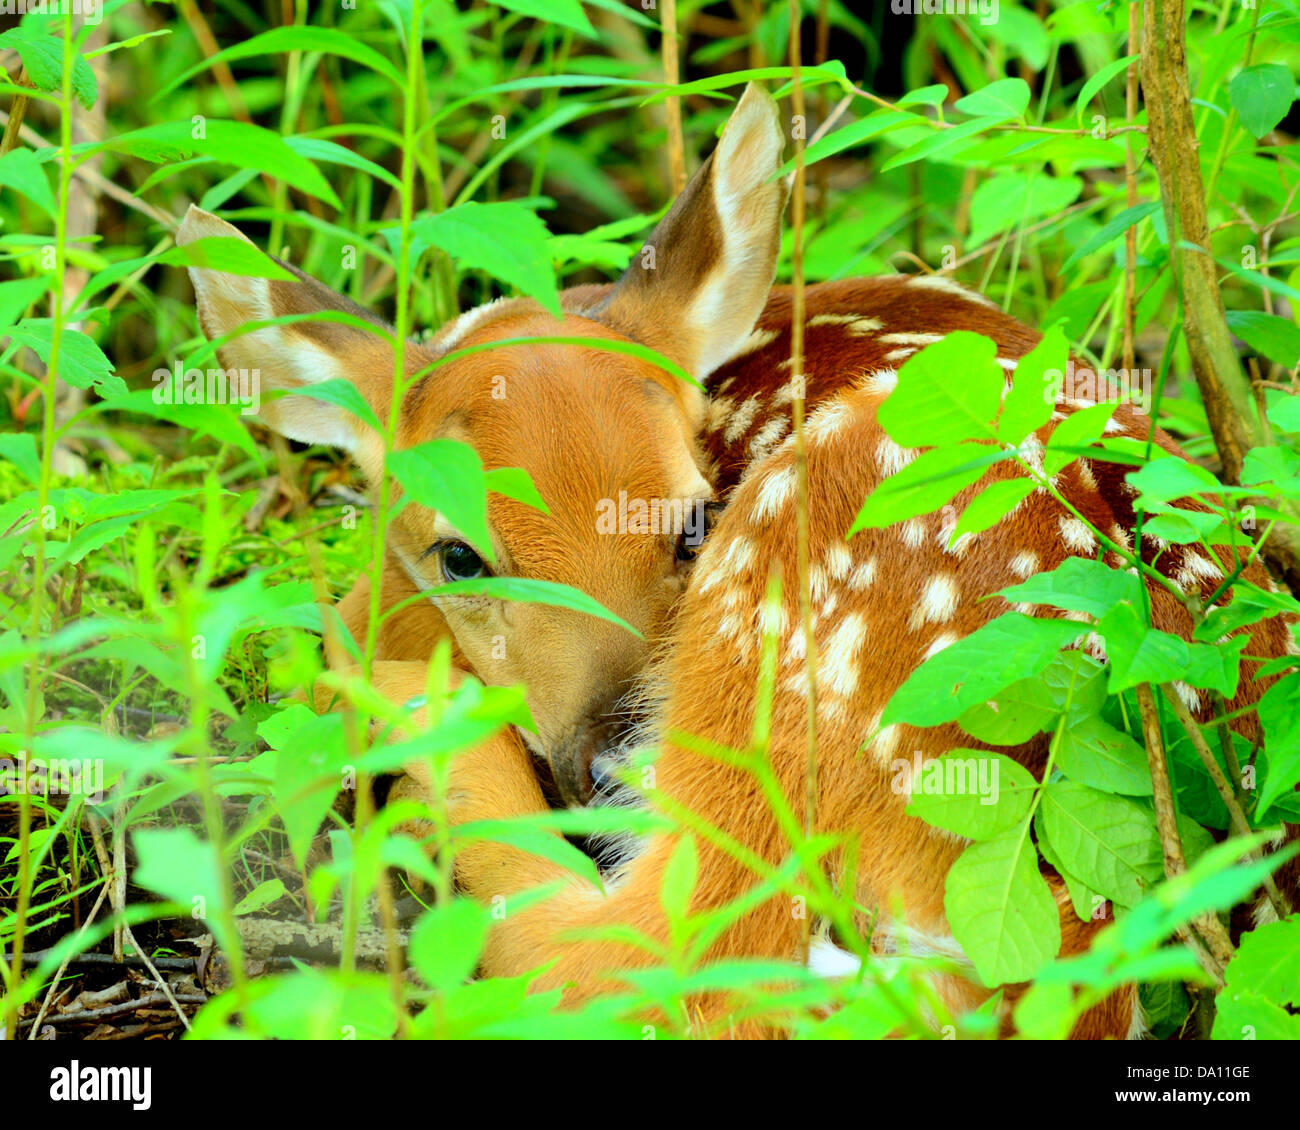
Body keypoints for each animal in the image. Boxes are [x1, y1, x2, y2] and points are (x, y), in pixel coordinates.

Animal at [180, 83, 1298, 1039]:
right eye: (459, 553)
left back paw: (412, 700)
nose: (602, 763)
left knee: (641, 962)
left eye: (691, 522)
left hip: (792, 615)